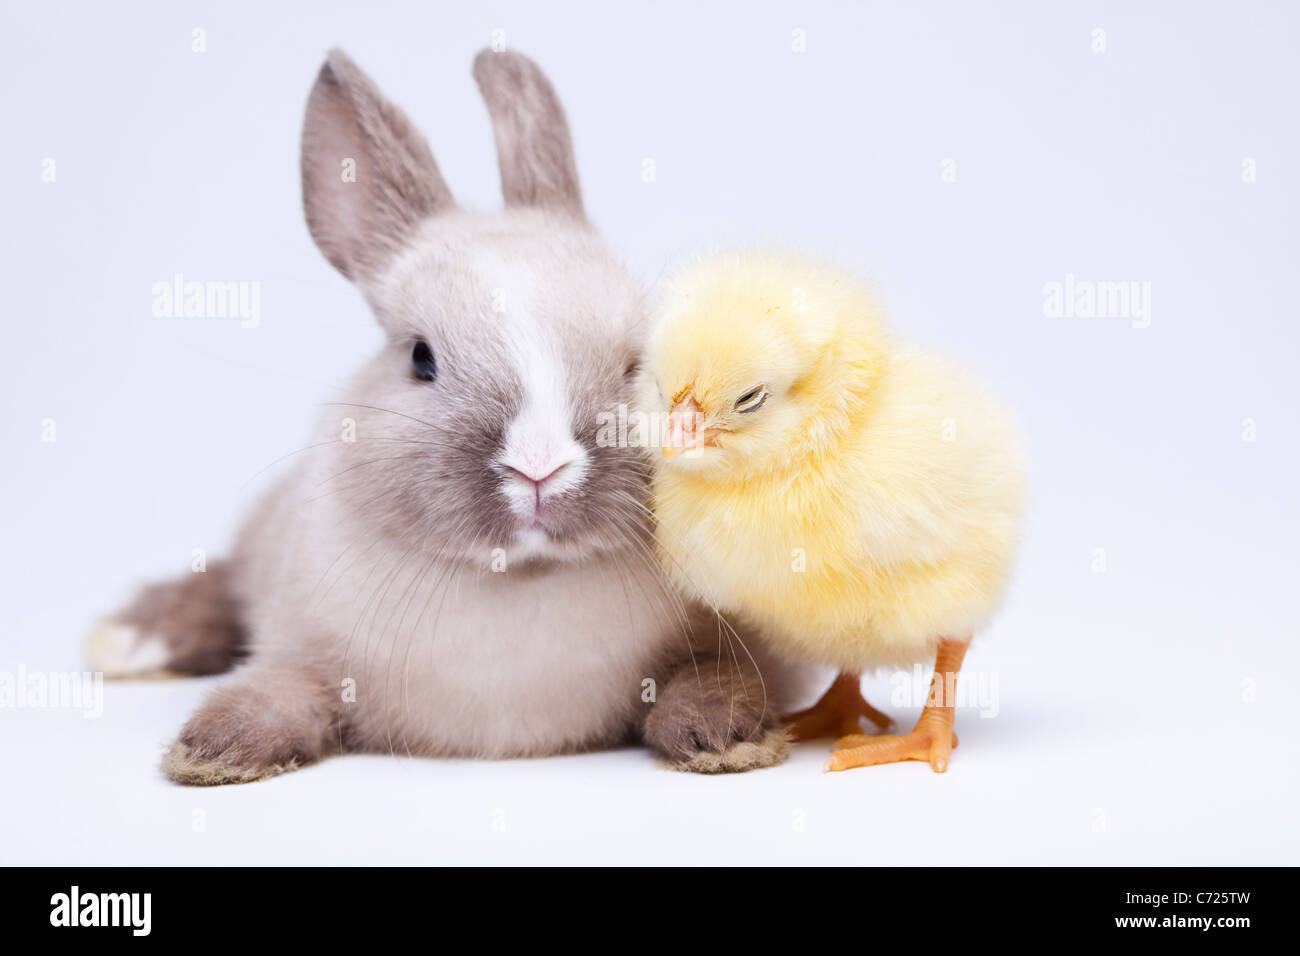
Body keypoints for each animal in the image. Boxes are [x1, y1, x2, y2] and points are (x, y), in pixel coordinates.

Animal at [83, 47, 804, 784]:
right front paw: (213, 749)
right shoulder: (300, 644)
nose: (539, 468)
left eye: (634, 363)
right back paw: (131, 642)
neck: (517, 578)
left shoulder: (744, 646)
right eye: (420, 358)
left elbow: (714, 676)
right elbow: (280, 690)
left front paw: (723, 739)